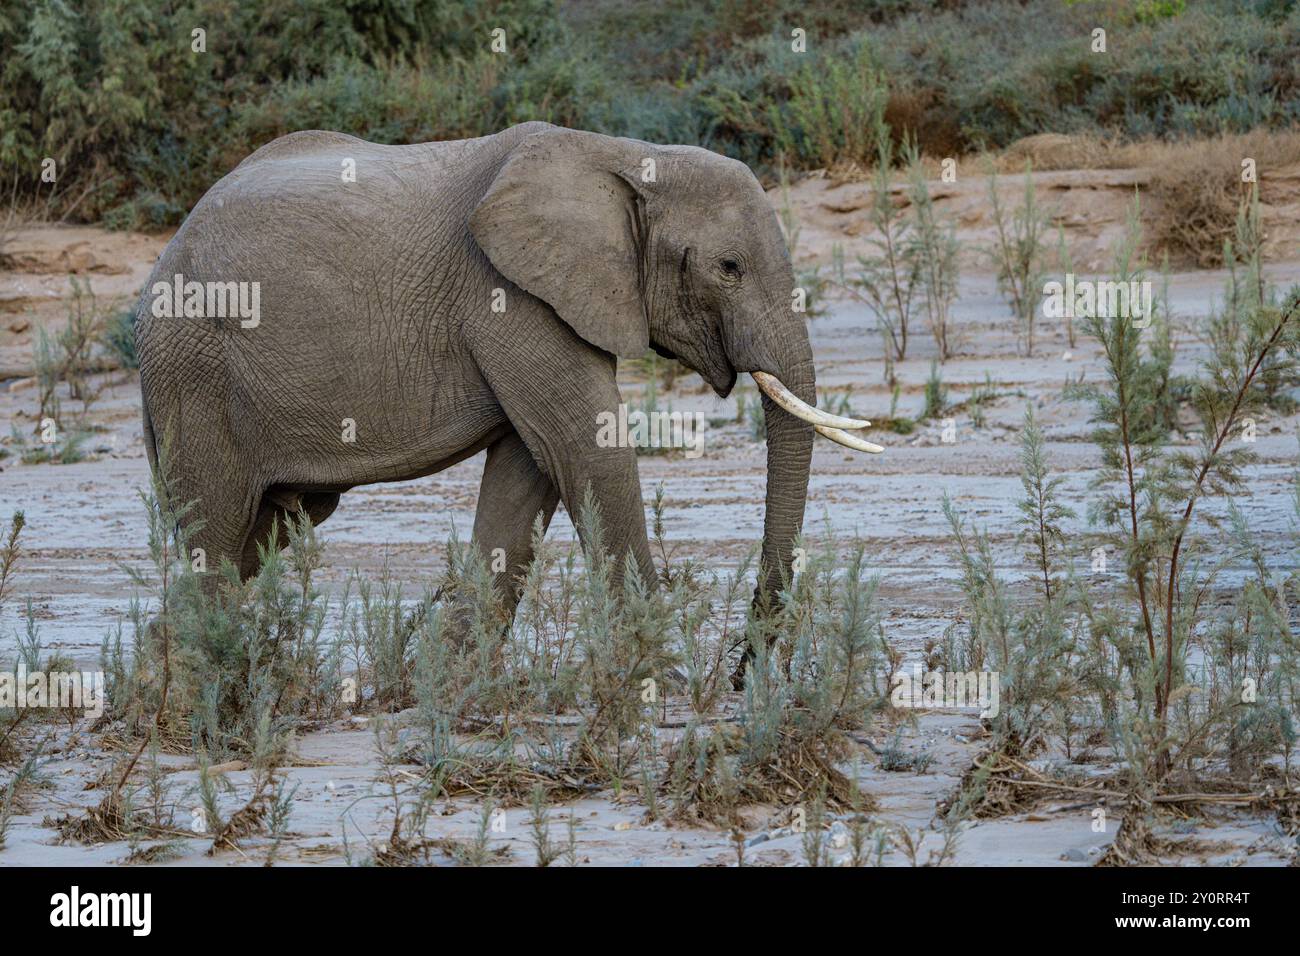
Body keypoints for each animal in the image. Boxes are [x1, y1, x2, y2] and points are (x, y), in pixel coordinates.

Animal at [134, 121, 880, 673]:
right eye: (729, 267)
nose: (742, 671)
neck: (627, 157)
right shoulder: (509, 296)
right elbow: (587, 450)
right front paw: (656, 681)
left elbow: (528, 472)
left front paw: (453, 683)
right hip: (194, 369)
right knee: (217, 523)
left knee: (268, 527)